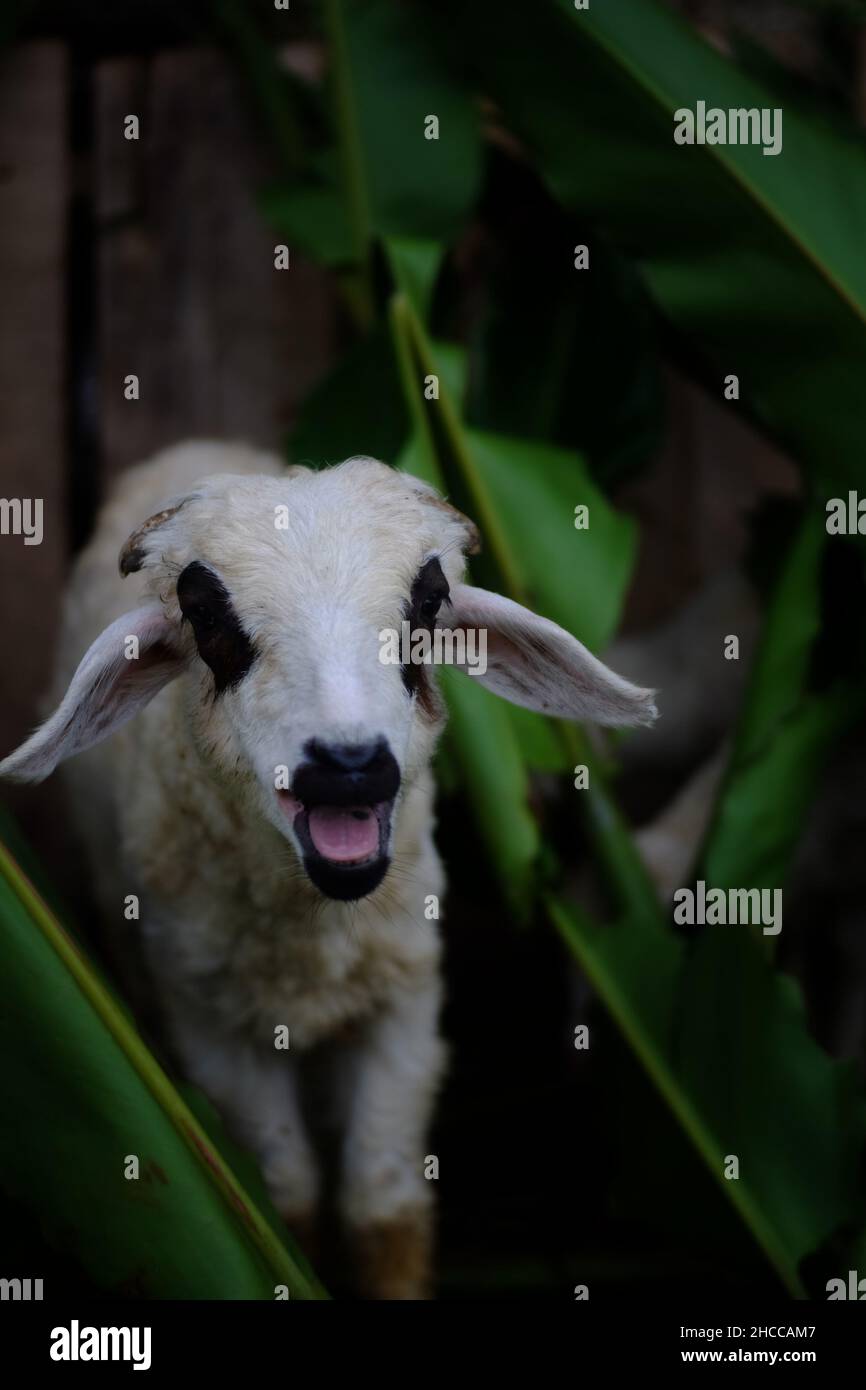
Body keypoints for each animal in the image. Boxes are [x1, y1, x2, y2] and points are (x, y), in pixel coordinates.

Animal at [0, 440, 657, 1298]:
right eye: (205, 616)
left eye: (429, 603)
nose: (347, 768)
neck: (313, 936)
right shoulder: (213, 1025)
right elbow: (289, 1196)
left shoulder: (405, 1005)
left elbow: (383, 1204)